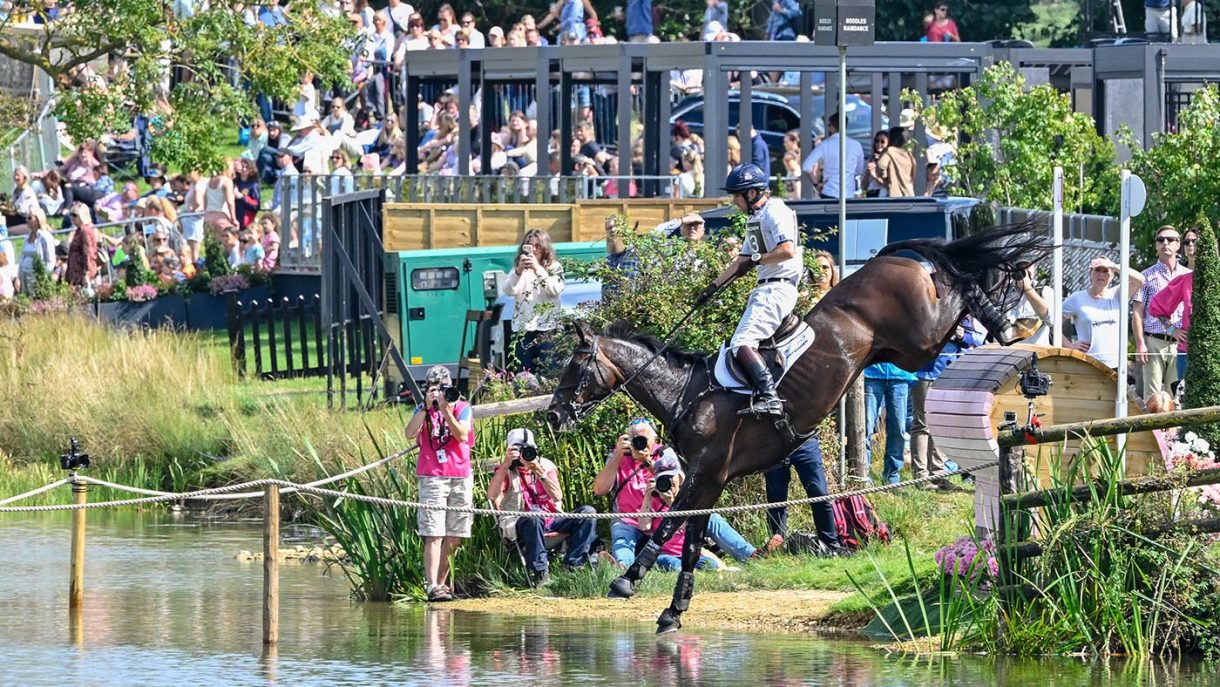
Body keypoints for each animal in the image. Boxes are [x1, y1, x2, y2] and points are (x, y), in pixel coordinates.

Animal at [545, 222, 1053, 634]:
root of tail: (888, 258)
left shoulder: (704, 475)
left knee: (961, 287)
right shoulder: (709, 481)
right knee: (954, 287)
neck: (687, 394)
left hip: (919, 338)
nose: (552, 415)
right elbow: (688, 541)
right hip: (909, 350)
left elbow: (669, 525)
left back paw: (1013, 317)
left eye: (576, 366)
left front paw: (627, 580)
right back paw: (1009, 318)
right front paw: (674, 610)